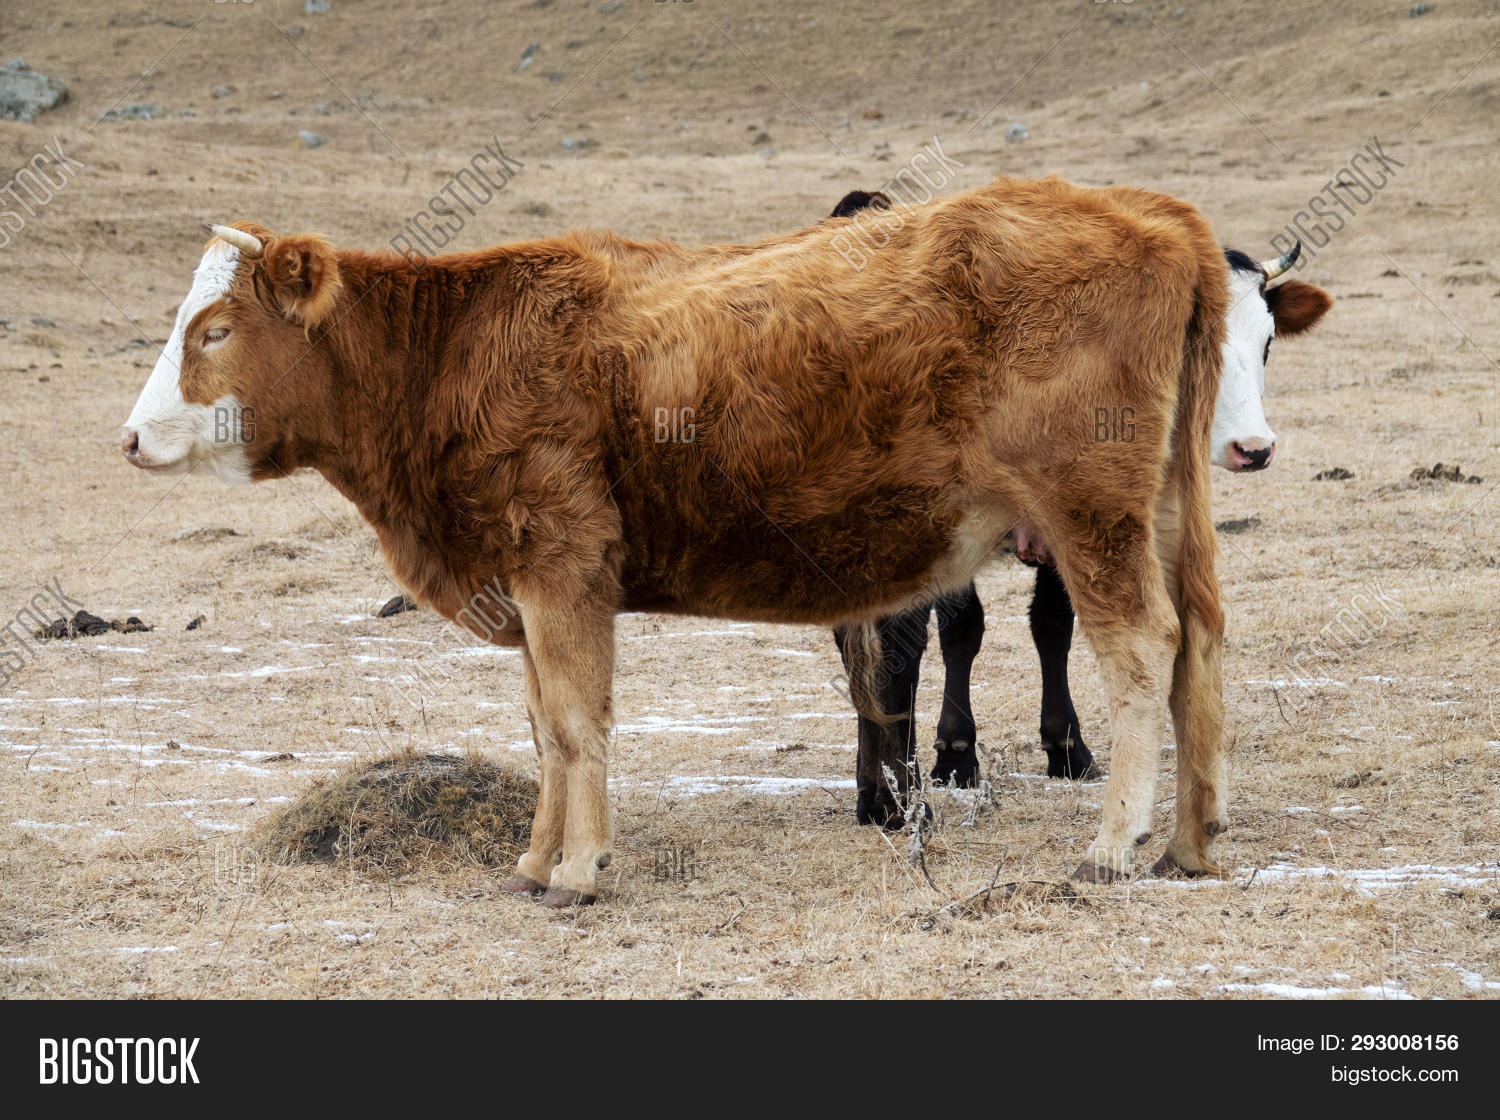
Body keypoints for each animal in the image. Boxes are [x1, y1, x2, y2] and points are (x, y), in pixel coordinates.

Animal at [125, 175, 1263, 905]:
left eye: (215, 330)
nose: (132, 438)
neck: (455, 348)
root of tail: (1153, 213)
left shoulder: (562, 568)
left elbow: (575, 721)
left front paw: (580, 871)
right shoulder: (524, 583)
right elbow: (544, 726)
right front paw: (534, 863)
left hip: (1092, 517)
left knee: (1143, 649)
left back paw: (1115, 844)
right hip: (1167, 511)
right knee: (1202, 640)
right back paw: (1191, 840)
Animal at [826, 191, 1332, 826]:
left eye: (1266, 343)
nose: (1254, 448)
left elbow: (1052, 625)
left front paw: (1066, 747)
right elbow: (962, 629)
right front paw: (956, 756)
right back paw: (897, 788)